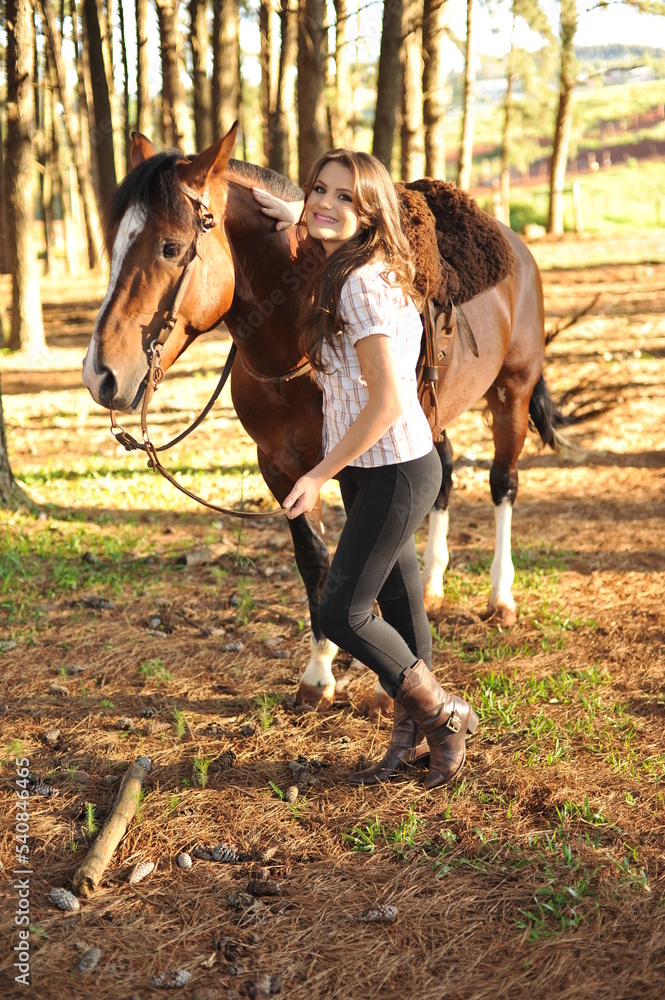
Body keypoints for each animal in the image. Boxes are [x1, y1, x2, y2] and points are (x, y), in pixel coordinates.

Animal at [82, 124, 559, 712]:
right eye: (113, 247)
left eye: (170, 247)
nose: (100, 374)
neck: (302, 329)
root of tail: (517, 248)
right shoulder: (280, 468)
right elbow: (315, 560)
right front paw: (317, 675)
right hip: (434, 419)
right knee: (444, 478)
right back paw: (433, 584)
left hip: (511, 393)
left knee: (502, 485)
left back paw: (500, 596)